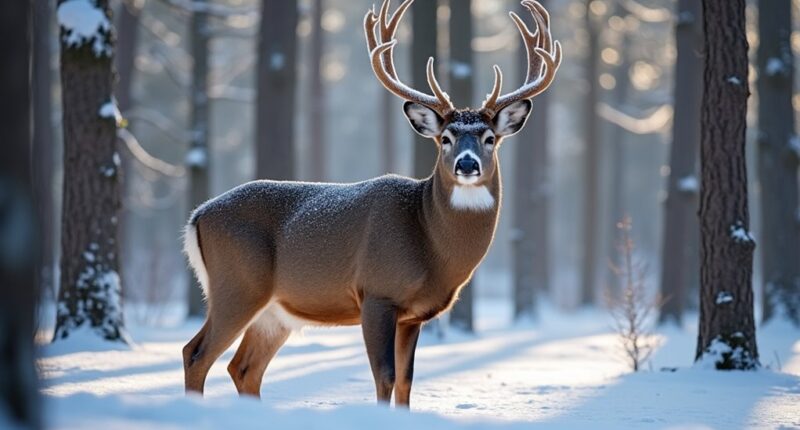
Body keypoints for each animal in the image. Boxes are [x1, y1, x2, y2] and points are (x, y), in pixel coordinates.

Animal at [182, 0, 561, 407]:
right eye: (445, 138)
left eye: (489, 138)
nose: (467, 164)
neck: (429, 241)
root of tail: (197, 215)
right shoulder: (377, 292)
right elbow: (385, 376)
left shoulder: (414, 316)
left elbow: (407, 380)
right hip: (237, 284)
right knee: (196, 353)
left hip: (274, 311)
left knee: (243, 367)